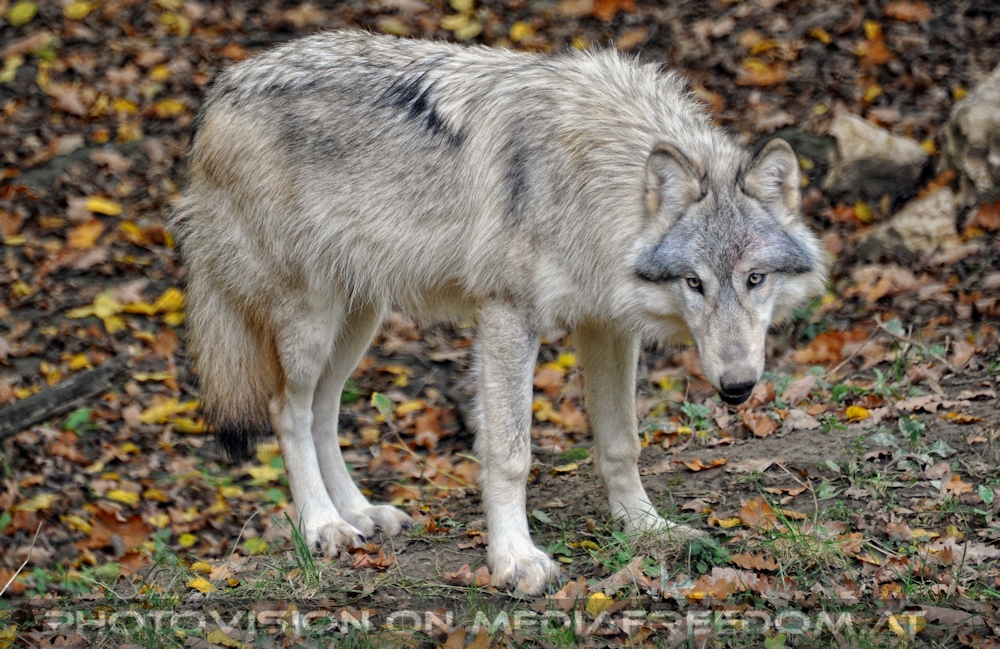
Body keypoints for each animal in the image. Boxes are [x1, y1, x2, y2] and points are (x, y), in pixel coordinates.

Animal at [174, 30, 828, 596]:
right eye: (695, 283)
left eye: (755, 279)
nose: (738, 388)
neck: (591, 180)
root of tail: (221, 89)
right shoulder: (509, 318)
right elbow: (510, 455)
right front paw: (515, 559)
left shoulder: (606, 325)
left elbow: (623, 442)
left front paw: (646, 528)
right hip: (311, 317)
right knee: (287, 410)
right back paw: (323, 526)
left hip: (359, 321)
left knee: (323, 412)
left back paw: (360, 513)